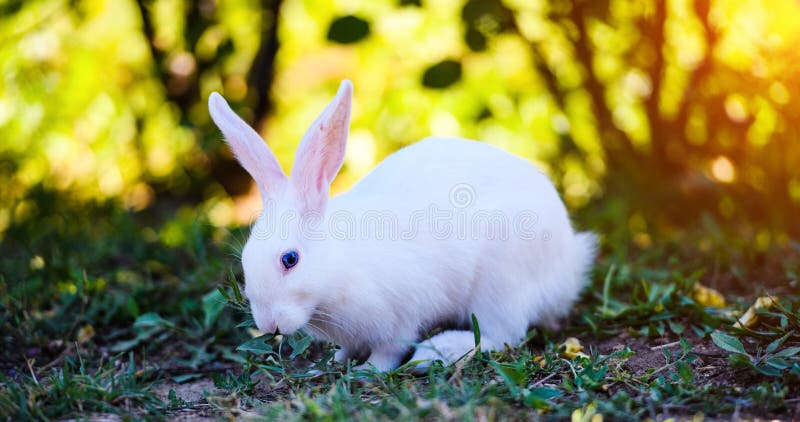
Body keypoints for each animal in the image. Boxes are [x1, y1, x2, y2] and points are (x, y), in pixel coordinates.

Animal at [208, 80, 597, 371]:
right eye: (244, 260)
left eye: (290, 259)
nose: (268, 325)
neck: (341, 266)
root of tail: (569, 265)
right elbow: (347, 349)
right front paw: (337, 361)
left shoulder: (399, 317)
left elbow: (389, 351)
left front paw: (368, 371)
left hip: (501, 281)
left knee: (501, 334)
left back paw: (439, 352)